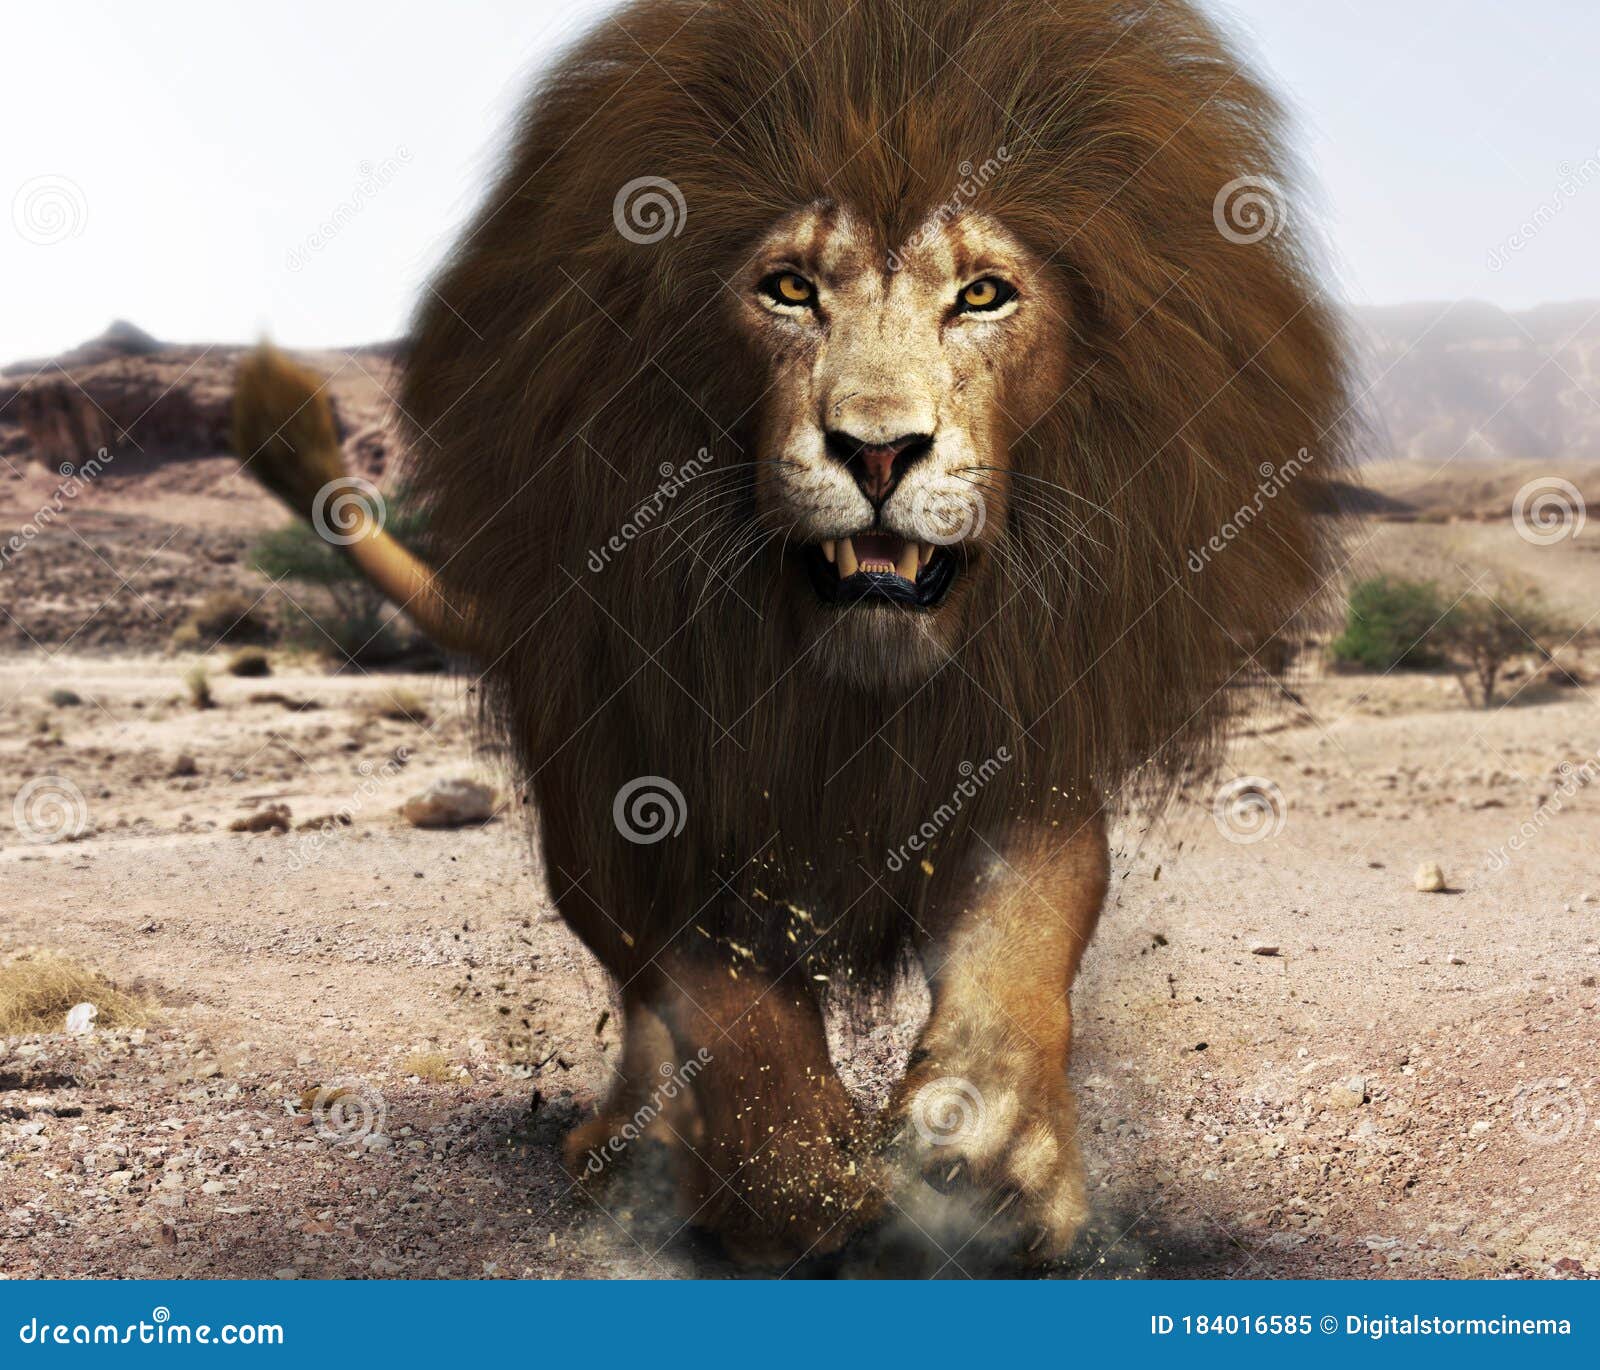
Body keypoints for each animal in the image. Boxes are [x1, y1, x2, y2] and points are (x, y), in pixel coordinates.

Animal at [234, 0, 1353, 1266]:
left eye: (982, 294)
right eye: (786, 289)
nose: (877, 451)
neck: (839, 679)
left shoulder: (1020, 740)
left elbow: (1023, 928)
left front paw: (988, 1150)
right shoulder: (626, 785)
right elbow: (716, 993)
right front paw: (798, 1175)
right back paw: (639, 1147)